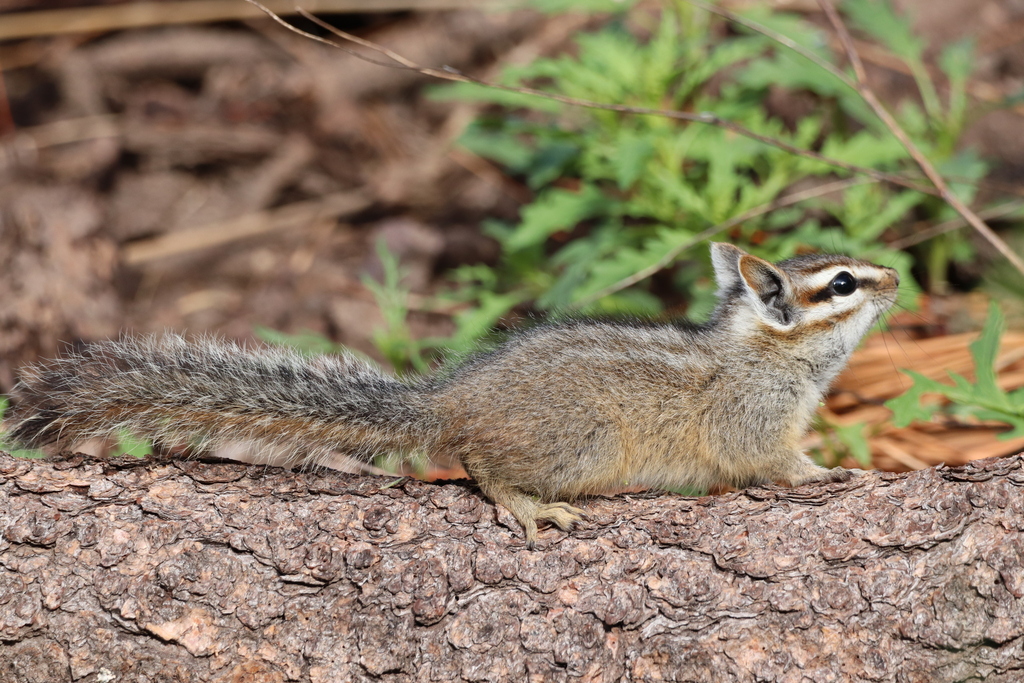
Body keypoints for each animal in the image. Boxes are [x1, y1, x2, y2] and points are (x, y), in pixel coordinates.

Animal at [6, 243, 899, 547]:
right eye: (842, 282)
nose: (896, 276)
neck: (766, 352)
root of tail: (451, 399)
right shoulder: (755, 418)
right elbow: (771, 461)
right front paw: (827, 473)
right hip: (581, 443)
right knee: (481, 467)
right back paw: (526, 503)